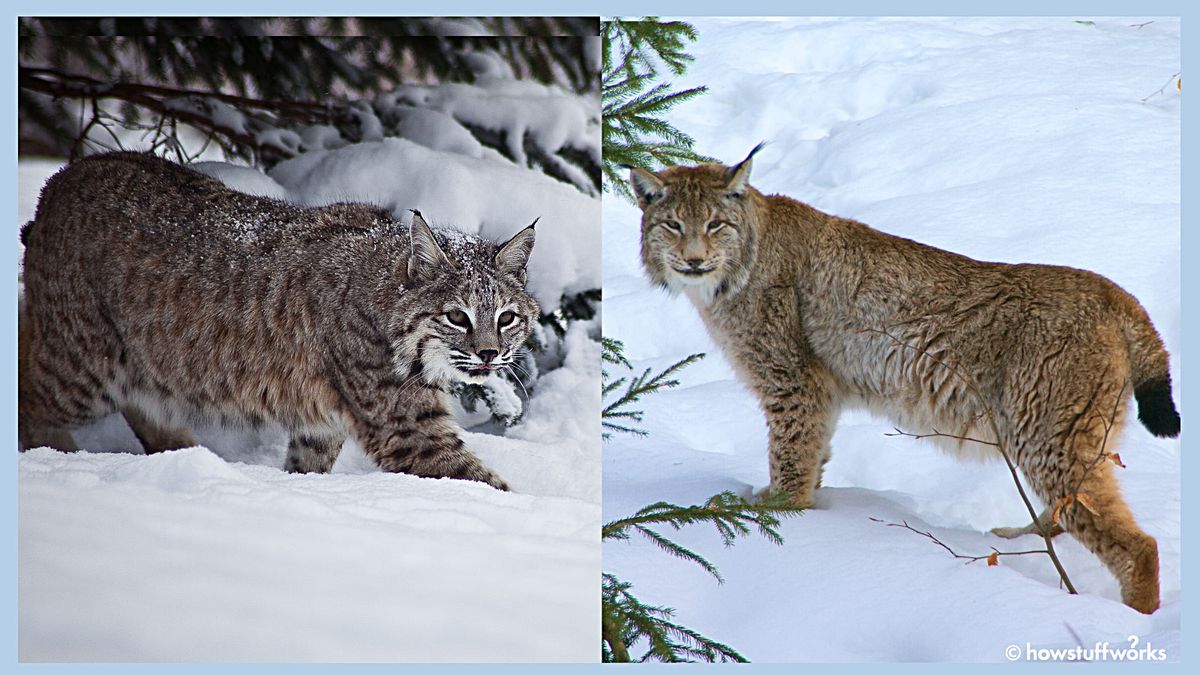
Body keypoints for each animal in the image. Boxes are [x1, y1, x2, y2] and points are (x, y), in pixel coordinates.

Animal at [19, 151, 540, 487]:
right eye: (456, 316)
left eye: (507, 317)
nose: (490, 355)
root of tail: (63, 176)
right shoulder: (407, 430)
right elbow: (484, 484)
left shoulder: (324, 421)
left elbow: (308, 461)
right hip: (84, 361)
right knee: (29, 394)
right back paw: (59, 462)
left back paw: (189, 459)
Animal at [628, 148, 1180, 614]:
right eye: (673, 225)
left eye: (715, 224)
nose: (694, 260)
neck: (737, 267)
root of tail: (1112, 291)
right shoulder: (822, 390)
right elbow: (813, 450)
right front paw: (795, 504)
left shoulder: (792, 380)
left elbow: (790, 453)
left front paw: (782, 516)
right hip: (1065, 429)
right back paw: (1020, 538)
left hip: (1044, 429)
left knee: (1138, 543)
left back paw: (1133, 619)